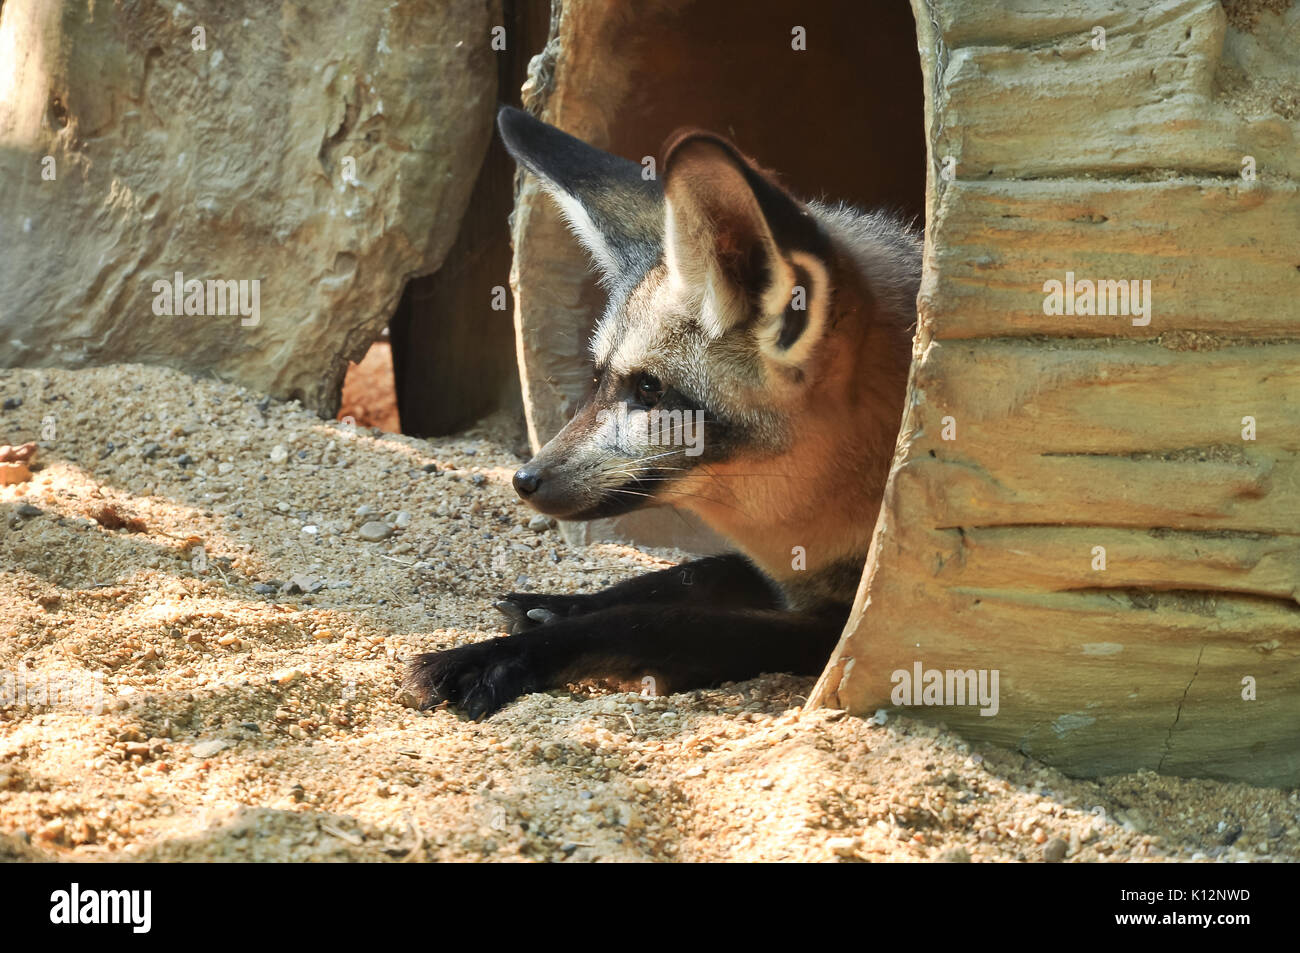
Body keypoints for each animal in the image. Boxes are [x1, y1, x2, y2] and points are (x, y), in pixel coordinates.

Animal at [402, 106, 921, 719]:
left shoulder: (835, 628)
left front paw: (500, 656)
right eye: (598, 379)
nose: (523, 479)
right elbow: (689, 572)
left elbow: (660, 621)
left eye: (649, 390)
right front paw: (557, 603)